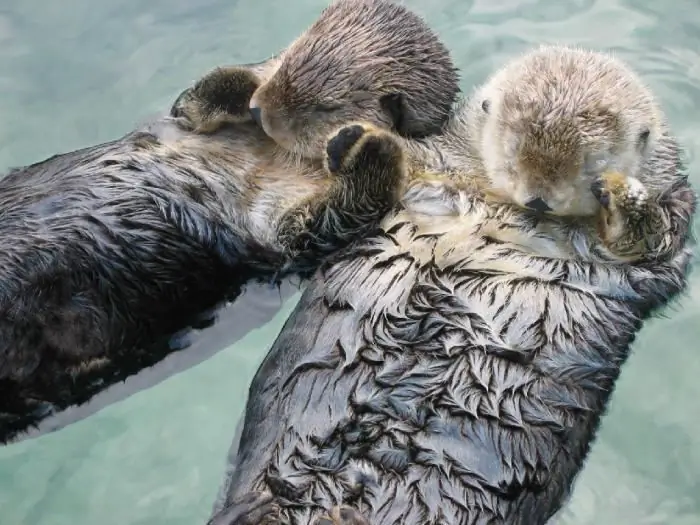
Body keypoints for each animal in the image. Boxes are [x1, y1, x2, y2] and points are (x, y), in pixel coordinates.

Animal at [0, 0, 460, 444]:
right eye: (290, 56)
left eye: (326, 107)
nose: (259, 111)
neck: (273, 152)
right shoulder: (185, 119)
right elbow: (191, 99)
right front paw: (241, 89)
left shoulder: (283, 231)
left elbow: (326, 222)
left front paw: (368, 145)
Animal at [206, 45, 696, 524]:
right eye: (512, 152)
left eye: (592, 165)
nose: (539, 199)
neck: (501, 204)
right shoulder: (436, 167)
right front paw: (351, 137)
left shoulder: (666, 237)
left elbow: (648, 240)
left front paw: (622, 192)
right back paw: (367, 148)